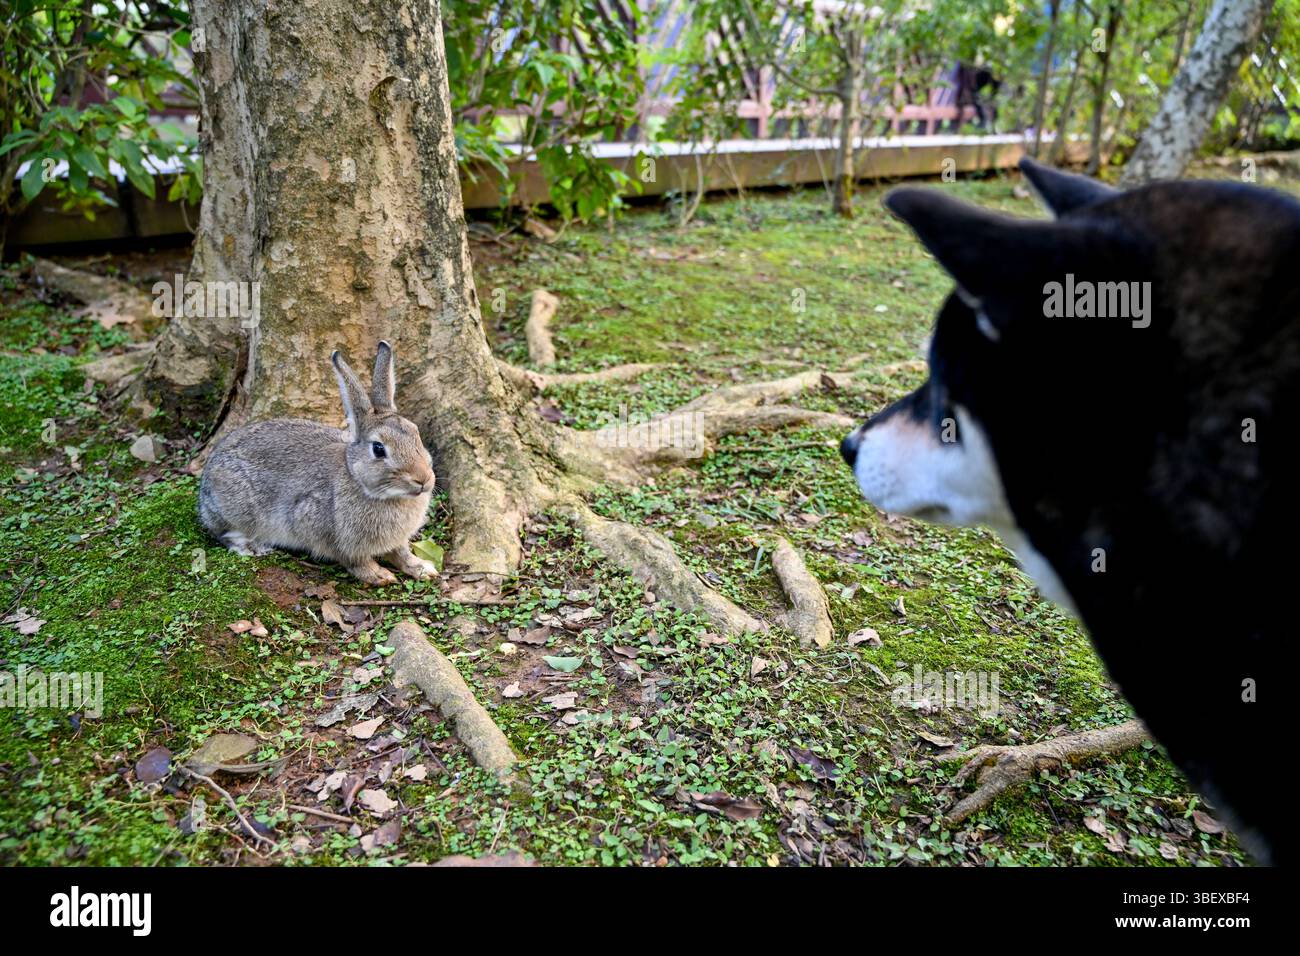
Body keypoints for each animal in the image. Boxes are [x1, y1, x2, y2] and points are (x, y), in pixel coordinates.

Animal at [198, 341, 438, 585]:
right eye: (379, 449)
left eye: (415, 432)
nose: (423, 479)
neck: (359, 480)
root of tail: (207, 481)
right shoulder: (321, 527)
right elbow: (355, 560)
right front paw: (379, 575)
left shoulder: (397, 540)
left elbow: (401, 552)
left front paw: (423, 568)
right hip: (236, 508)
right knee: (222, 533)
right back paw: (251, 547)